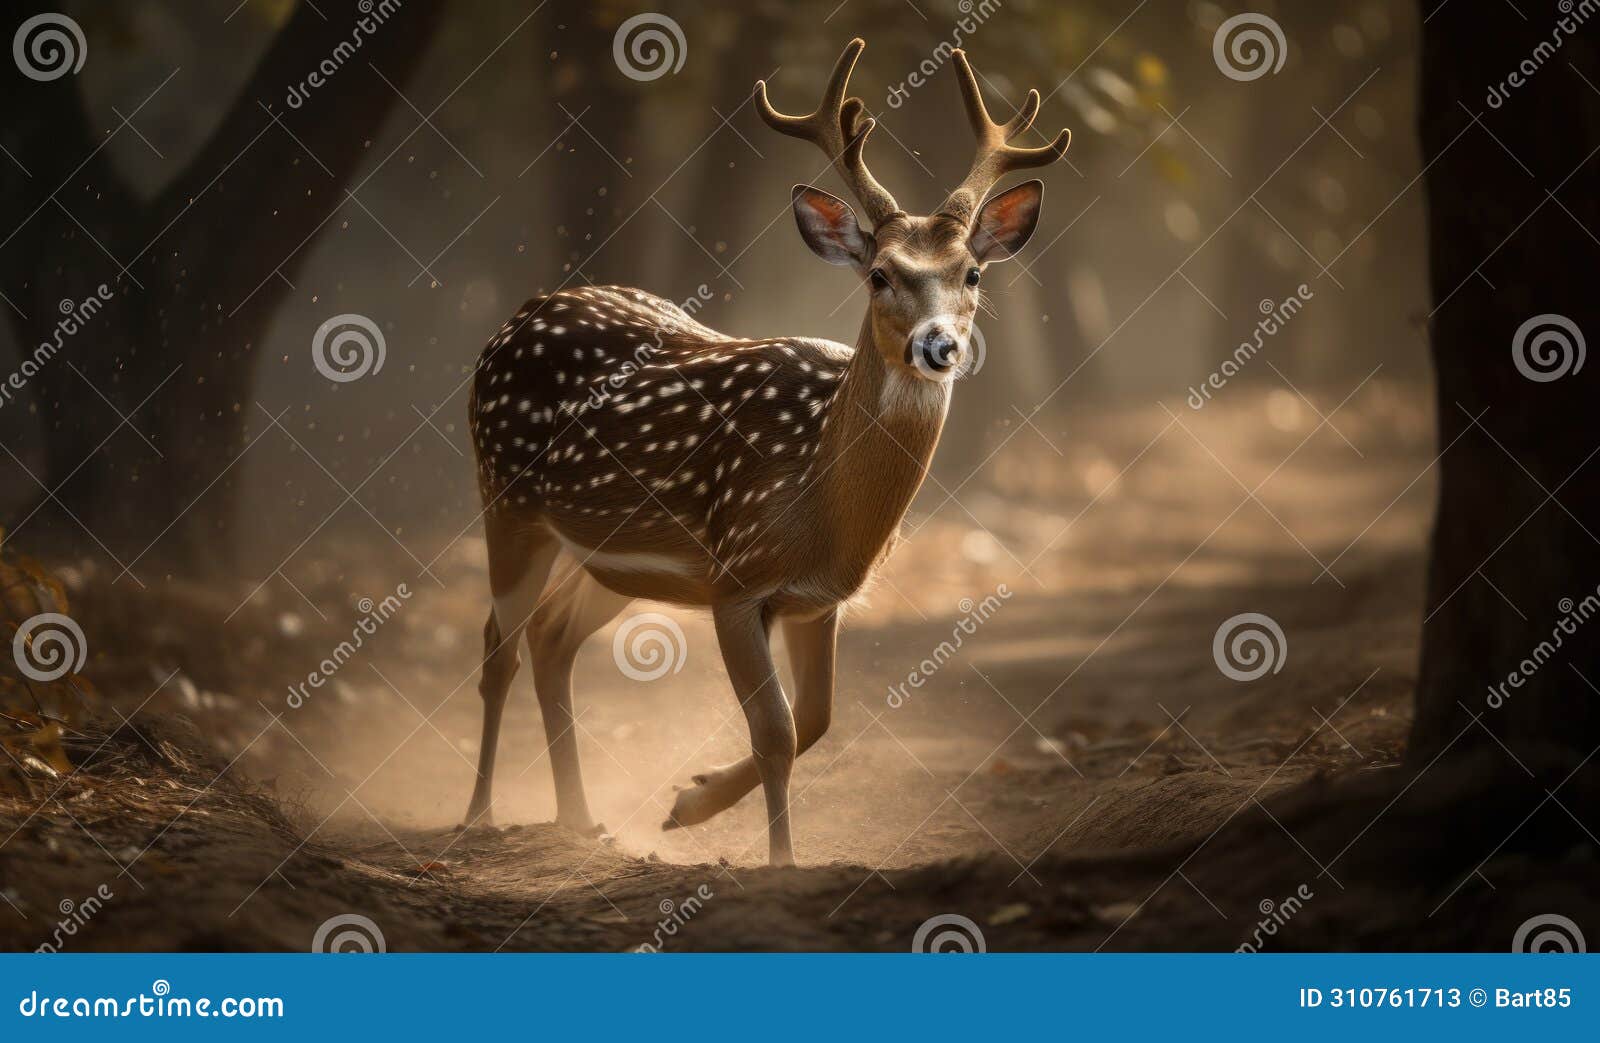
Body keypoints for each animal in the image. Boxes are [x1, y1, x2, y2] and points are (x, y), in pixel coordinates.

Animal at [463, 39, 1069, 866]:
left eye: (971, 273)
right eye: (880, 274)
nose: (939, 344)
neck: (822, 506)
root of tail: (515, 318)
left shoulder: (819, 598)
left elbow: (815, 720)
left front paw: (689, 800)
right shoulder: (736, 576)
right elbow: (777, 729)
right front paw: (777, 858)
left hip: (609, 554)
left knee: (551, 639)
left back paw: (581, 819)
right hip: (506, 495)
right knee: (499, 646)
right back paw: (479, 813)